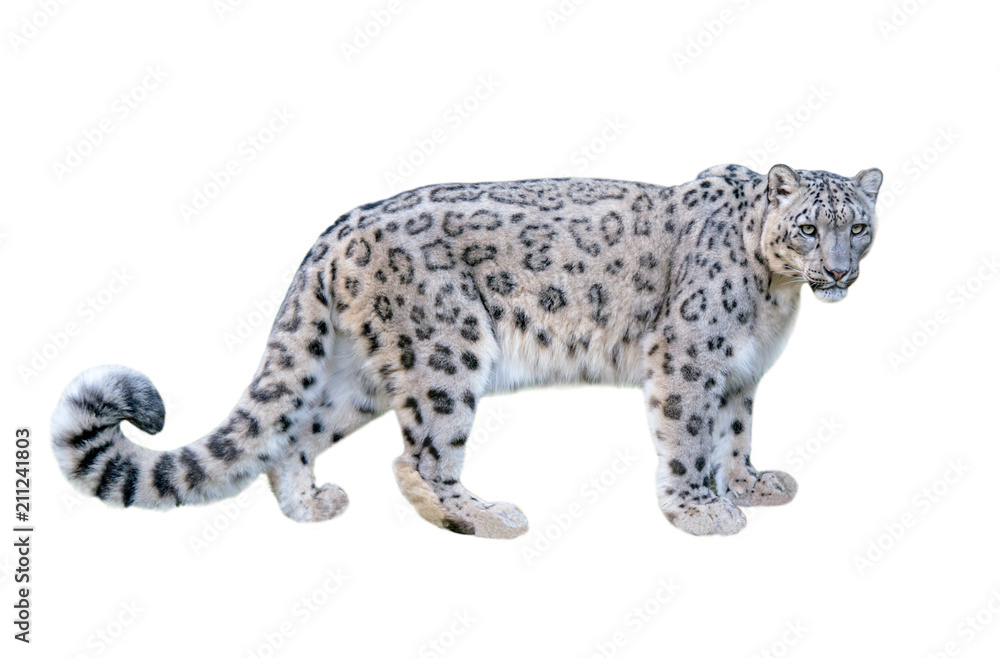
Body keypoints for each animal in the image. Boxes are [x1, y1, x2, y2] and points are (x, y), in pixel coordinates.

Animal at [52, 163, 883, 538]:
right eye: (809, 227)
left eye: (860, 225)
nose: (840, 271)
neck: (775, 298)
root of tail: (335, 229)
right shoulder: (686, 361)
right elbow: (686, 442)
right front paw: (699, 512)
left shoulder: (738, 376)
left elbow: (732, 436)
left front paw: (749, 484)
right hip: (447, 354)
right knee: (420, 457)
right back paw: (482, 515)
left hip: (362, 374)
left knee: (295, 431)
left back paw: (311, 504)